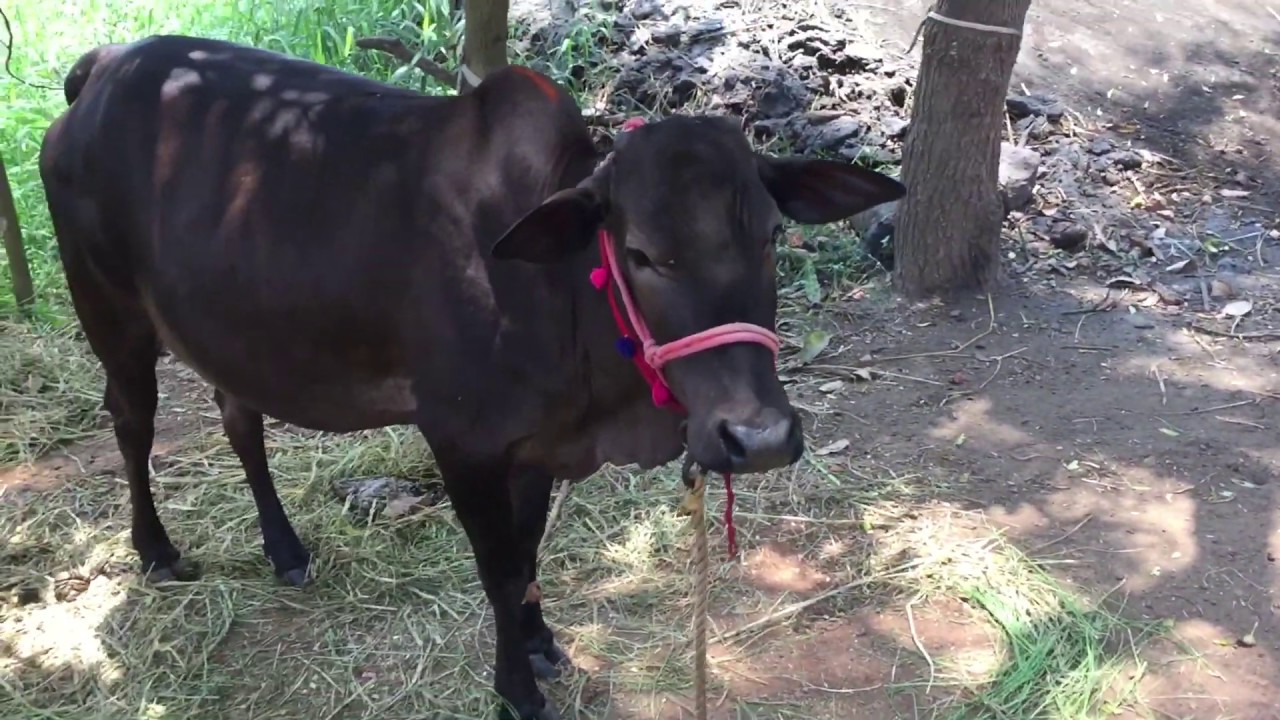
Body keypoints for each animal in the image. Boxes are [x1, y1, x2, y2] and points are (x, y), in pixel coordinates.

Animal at [40, 35, 905, 719]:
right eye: (640, 252)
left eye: (770, 235)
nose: (758, 437)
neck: (561, 297)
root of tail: (102, 67)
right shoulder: (461, 439)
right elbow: (497, 569)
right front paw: (516, 689)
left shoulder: (538, 447)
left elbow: (526, 557)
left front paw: (541, 641)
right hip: (111, 312)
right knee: (132, 421)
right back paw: (156, 549)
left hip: (227, 331)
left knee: (238, 418)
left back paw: (284, 548)